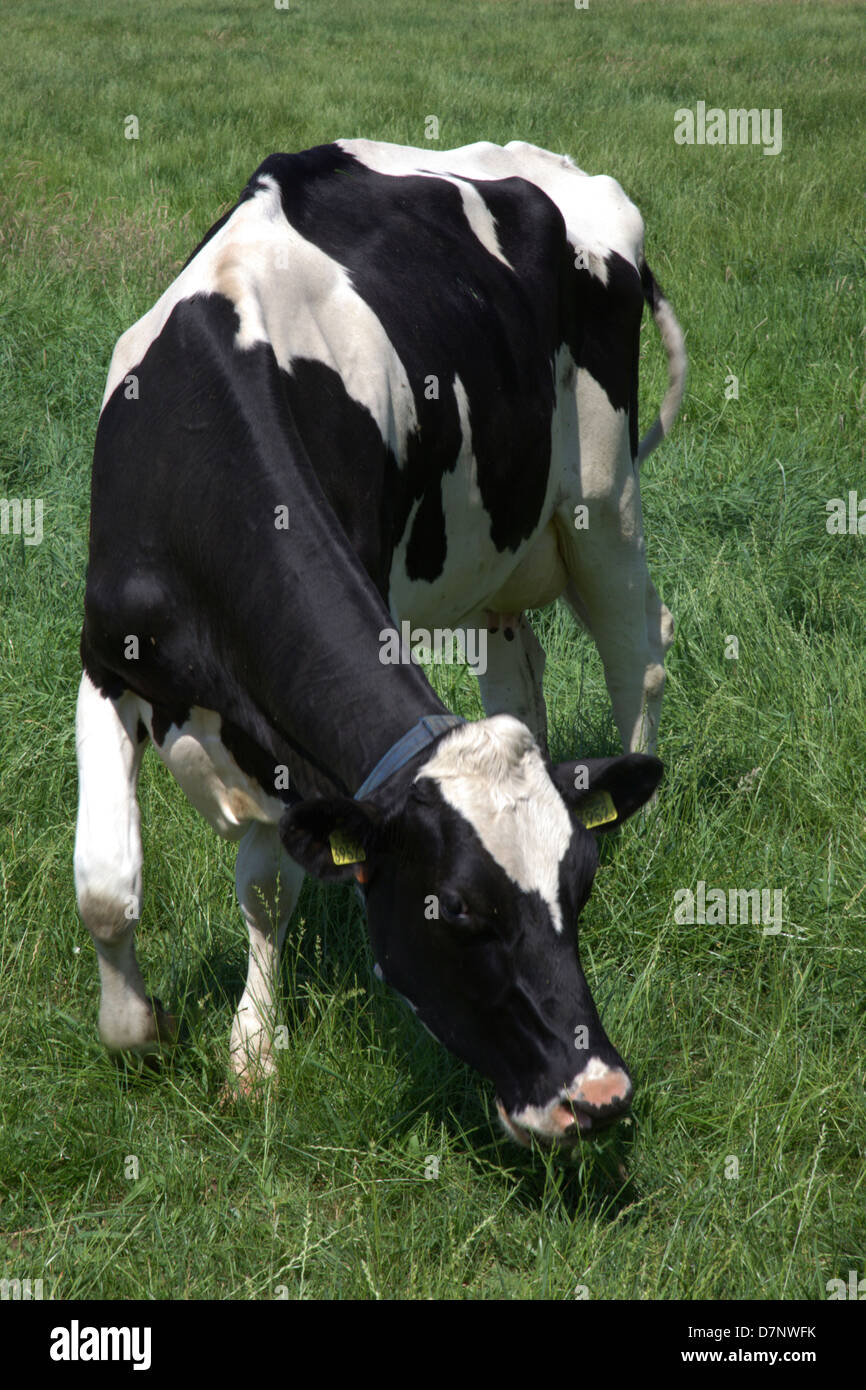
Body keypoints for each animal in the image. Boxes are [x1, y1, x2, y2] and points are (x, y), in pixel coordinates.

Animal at [74, 139, 685, 1147]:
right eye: (457, 911)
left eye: (581, 891)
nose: (596, 1095)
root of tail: (546, 161)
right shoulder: (106, 657)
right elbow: (106, 881)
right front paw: (143, 1030)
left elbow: (267, 882)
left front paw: (251, 1052)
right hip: (495, 550)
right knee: (519, 673)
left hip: (604, 499)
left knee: (637, 646)